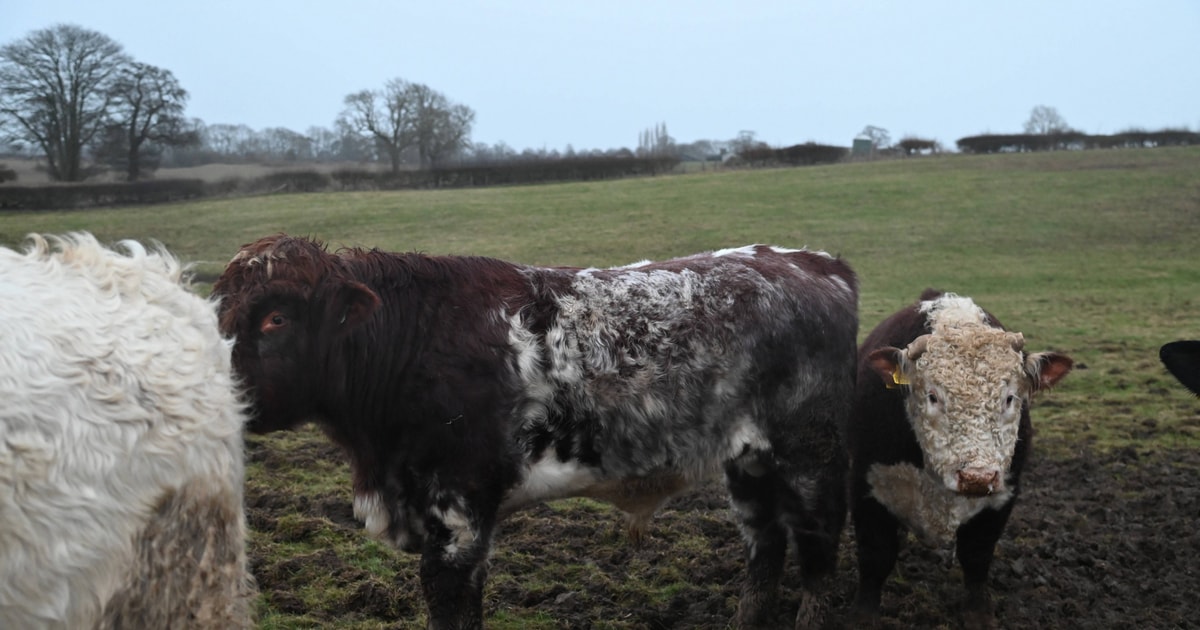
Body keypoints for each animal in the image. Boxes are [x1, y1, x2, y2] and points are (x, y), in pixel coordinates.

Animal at [212, 235, 860, 629]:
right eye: (219, 315)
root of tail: (811, 261)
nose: (219, 392)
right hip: (748, 462)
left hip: (813, 456)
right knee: (765, 545)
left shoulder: (459, 509)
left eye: (275, 318)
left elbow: (448, 600)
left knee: (818, 549)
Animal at [847, 289, 1072, 629]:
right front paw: (864, 616)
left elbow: (977, 555)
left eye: (1009, 397)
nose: (977, 477)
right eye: (932, 396)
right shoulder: (867, 487)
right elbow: (876, 554)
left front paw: (978, 613)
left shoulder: (1003, 495)